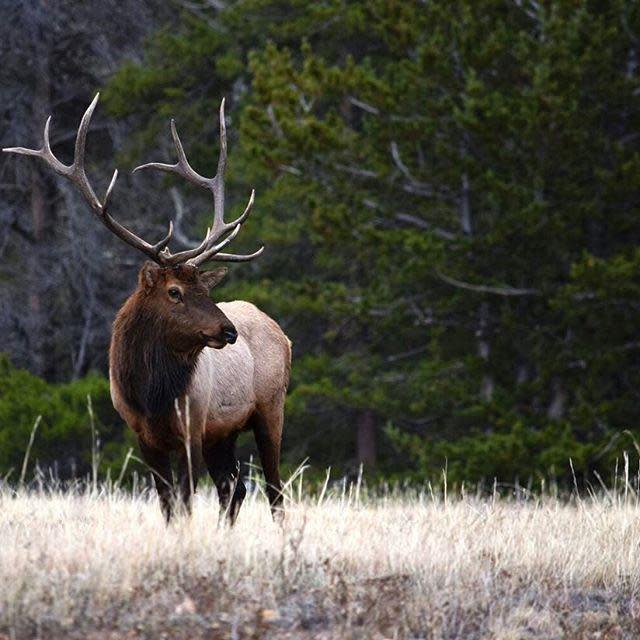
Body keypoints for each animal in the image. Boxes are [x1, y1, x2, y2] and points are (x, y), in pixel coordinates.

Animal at [3, 95, 291, 525]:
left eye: (203, 288)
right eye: (175, 292)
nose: (228, 331)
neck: (152, 396)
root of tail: (282, 334)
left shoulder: (192, 427)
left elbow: (185, 504)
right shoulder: (145, 437)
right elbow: (168, 505)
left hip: (270, 408)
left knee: (274, 490)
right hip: (223, 432)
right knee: (235, 488)